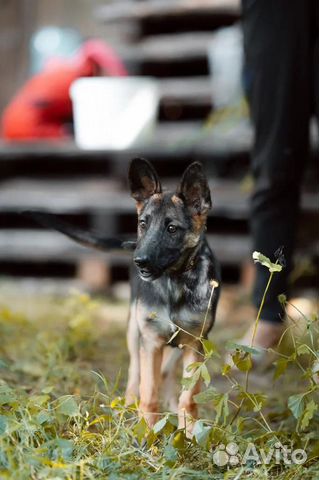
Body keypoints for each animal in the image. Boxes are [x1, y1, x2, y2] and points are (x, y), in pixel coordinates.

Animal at [25, 158, 221, 432]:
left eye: (172, 228)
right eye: (143, 224)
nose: (139, 261)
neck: (174, 283)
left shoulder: (194, 342)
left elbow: (189, 396)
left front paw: (189, 431)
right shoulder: (150, 340)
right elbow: (148, 391)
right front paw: (146, 432)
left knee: (166, 373)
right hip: (133, 330)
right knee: (135, 374)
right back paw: (128, 407)